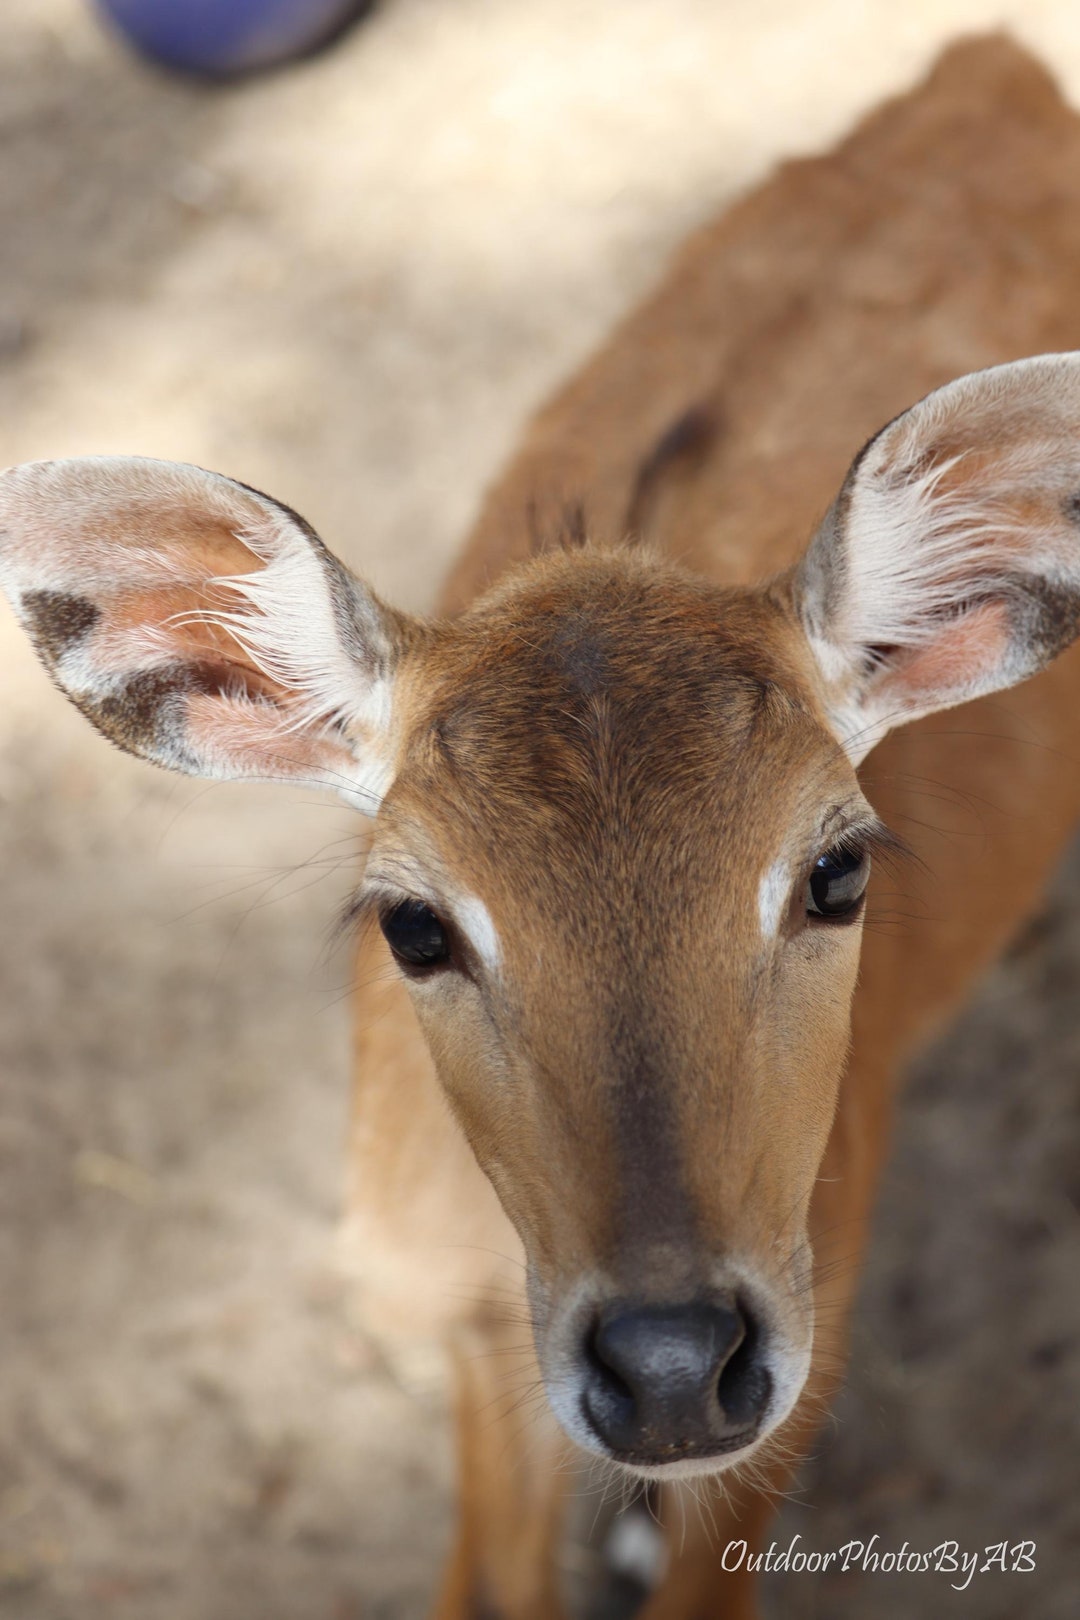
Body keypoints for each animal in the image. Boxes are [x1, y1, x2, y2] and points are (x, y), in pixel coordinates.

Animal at [1, 33, 1078, 1620]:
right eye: (413, 922)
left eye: (836, 868)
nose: (676, 1366)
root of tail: (988, 55)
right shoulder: (449, 1320)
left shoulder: (811, 1328)